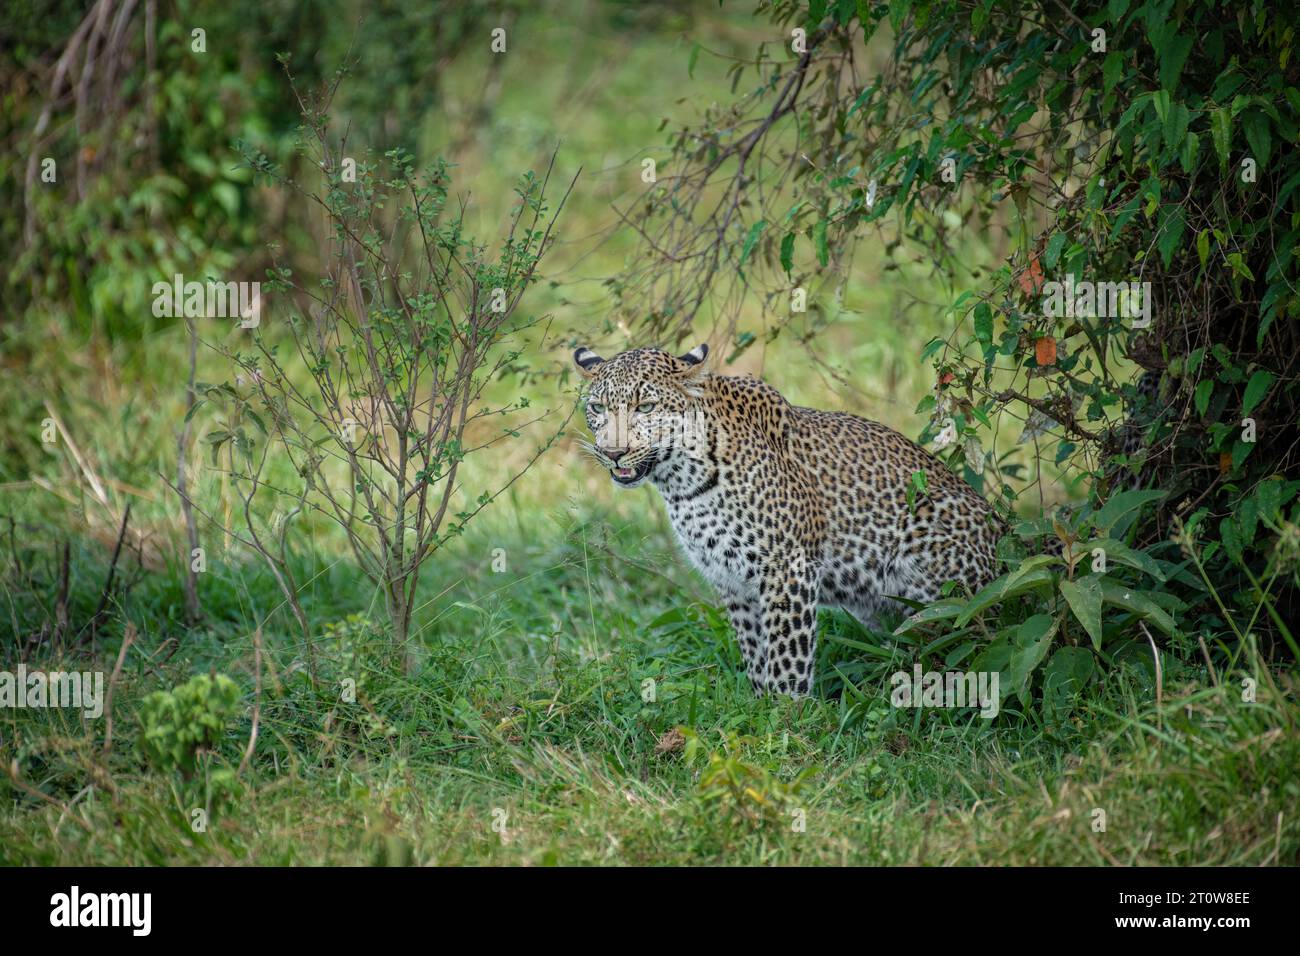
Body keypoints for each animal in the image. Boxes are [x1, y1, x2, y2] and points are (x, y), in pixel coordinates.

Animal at [574, 342, 1005, 697]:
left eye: (645, 408)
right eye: (597, 409)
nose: (612, 453)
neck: (681, 481)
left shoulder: (787, 568)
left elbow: (786, 654)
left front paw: (787, 717)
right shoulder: (731, 580)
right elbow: (755, 650)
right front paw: (760, 704)